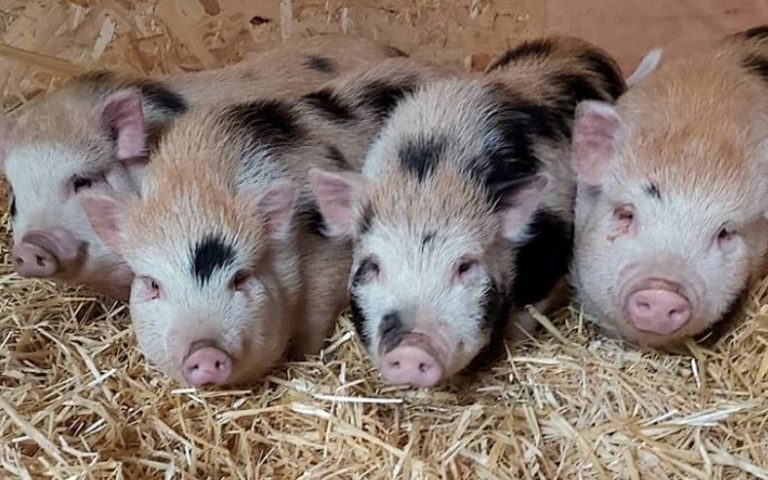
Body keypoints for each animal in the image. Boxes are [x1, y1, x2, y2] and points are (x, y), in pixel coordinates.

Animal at [80, 57, 453, 387]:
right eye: (152, 284)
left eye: (241, 277)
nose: (204, 353)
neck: (198, 189)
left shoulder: (329, 270)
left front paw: (302, 358)